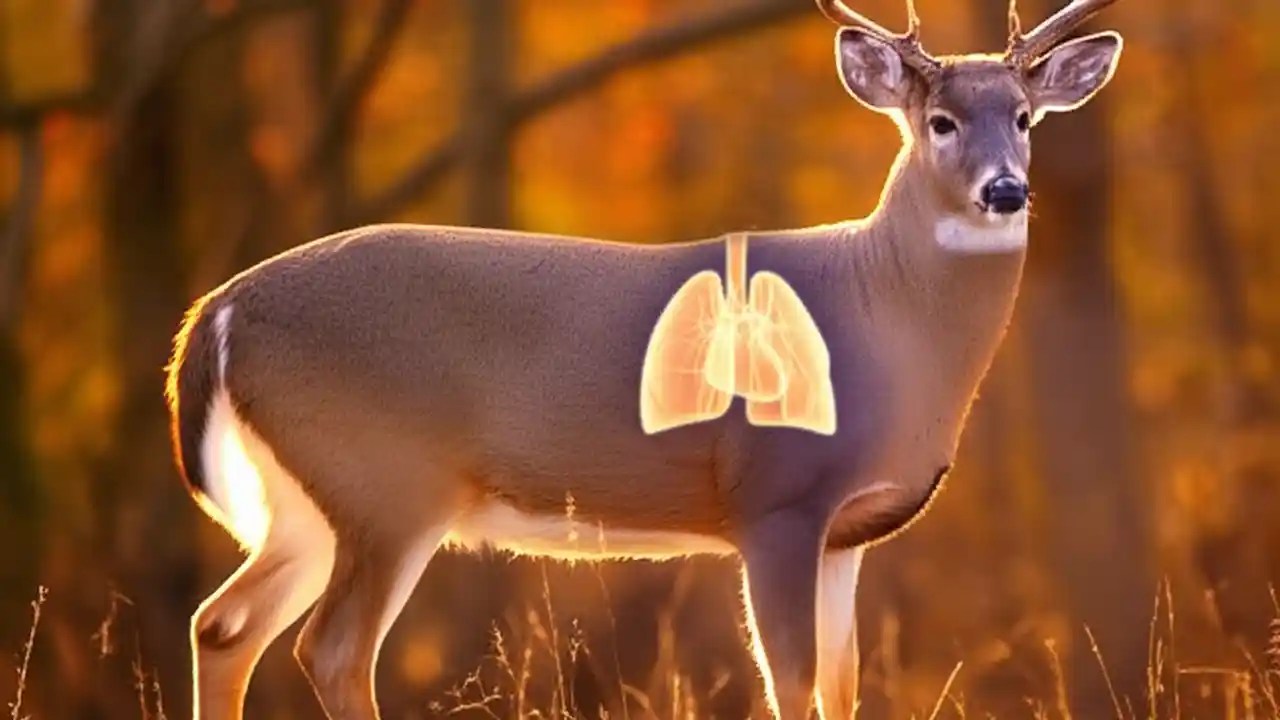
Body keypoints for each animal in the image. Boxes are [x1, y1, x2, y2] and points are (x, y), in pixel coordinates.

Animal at [165, 0, 1124, 717]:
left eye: (1026, 117)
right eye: (940, 121)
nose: (1007, 189)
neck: (879, 314)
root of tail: (218, 310)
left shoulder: (846, 533)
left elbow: (842, 688)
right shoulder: (776, 497)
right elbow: (791, 682)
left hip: (306, 500)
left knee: (223, 625)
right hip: (385, 482)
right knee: (329, 649)